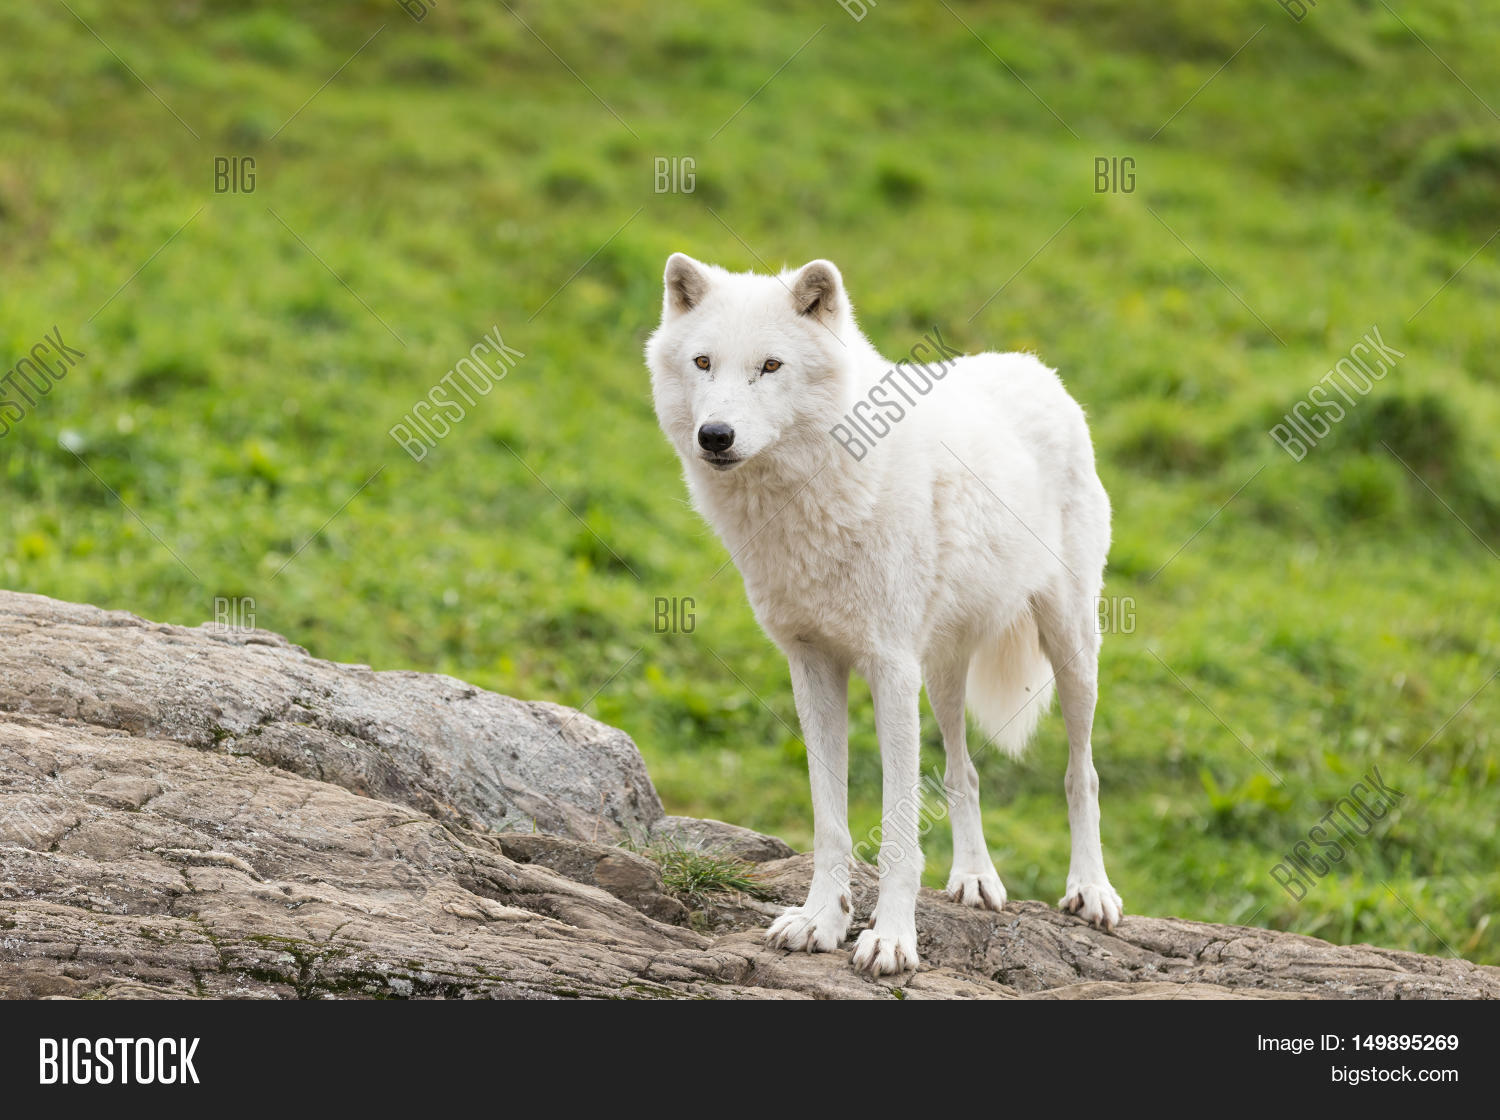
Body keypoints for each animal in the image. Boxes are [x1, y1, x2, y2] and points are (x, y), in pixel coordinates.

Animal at [646, 253, 1121, 976]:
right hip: (945, 673)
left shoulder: (889, 668)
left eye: (771, 366)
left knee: (1081, 774)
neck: (809, 498)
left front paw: (891, 940)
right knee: (964, 772)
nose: (715, 436)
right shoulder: (812, 664)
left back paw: (1090, 891)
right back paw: (975, 880)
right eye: (703, 362)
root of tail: (1036, 367)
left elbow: (898, 823)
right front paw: (821, 920)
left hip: (1070, 650)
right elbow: (830, 819)